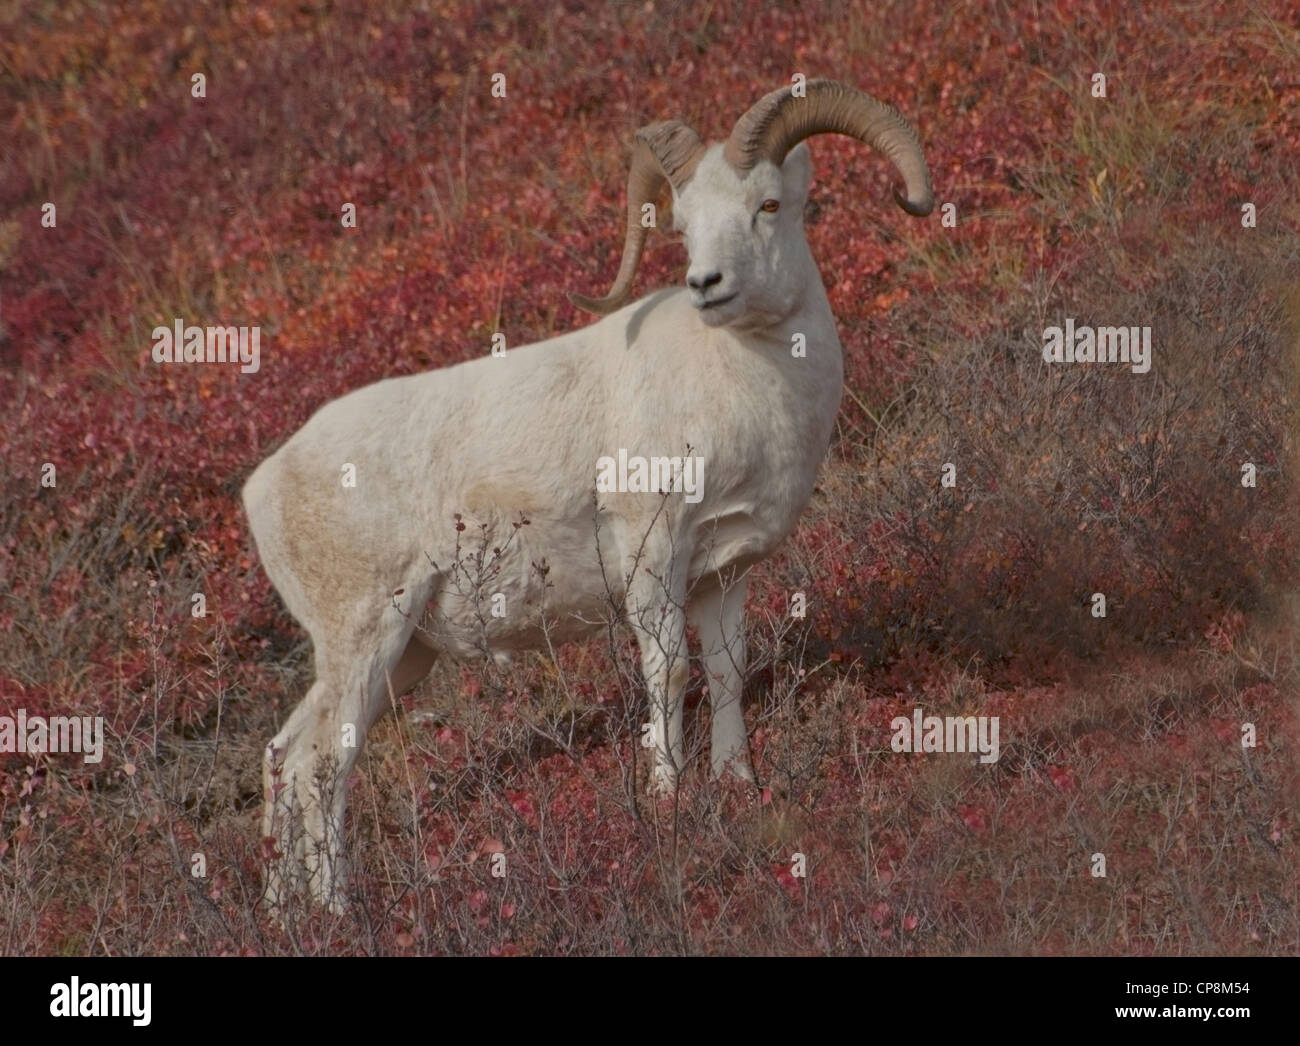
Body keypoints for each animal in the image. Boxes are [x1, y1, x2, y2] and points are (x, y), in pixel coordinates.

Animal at [243, 78, 933, 911]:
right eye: (683, 225)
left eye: (768, 204)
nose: (708, 286)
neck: (744, 386)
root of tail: (261, 487)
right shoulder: (652, 555)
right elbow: (669, 672)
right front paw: (668, 800)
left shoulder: (723, 573)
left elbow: (727, 671)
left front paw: (737, 784)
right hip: (365, 634)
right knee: (322, 767)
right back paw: (341, 911)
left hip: (397, 656)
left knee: (286, 756)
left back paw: (285, 913)